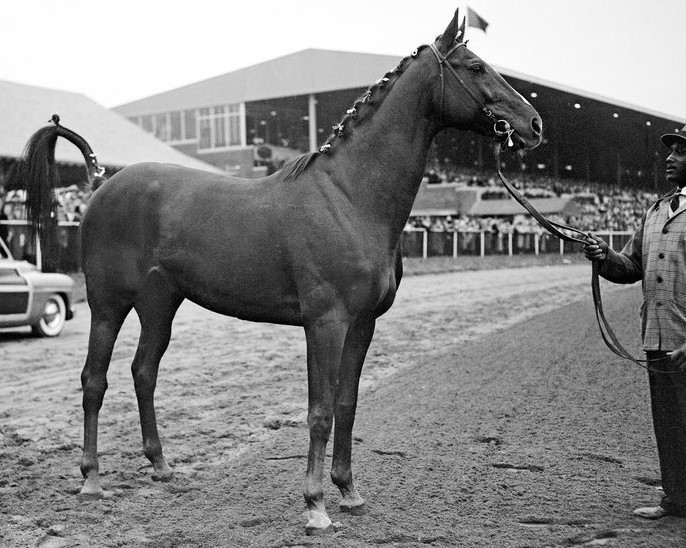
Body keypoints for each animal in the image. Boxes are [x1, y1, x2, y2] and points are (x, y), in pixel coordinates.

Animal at [11, 8, 541, 535]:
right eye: (475, 66)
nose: (534, 125)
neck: (348, 197)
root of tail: (102, 181)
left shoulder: (362, 324)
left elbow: (346, 404)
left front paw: (349, 493)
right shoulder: (325, 323)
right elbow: (320, 411)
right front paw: (316, 506)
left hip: (160, 305)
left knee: (144, 372)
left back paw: (162, 467)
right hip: (108, 305)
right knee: (94, 380)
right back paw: (91, 480)